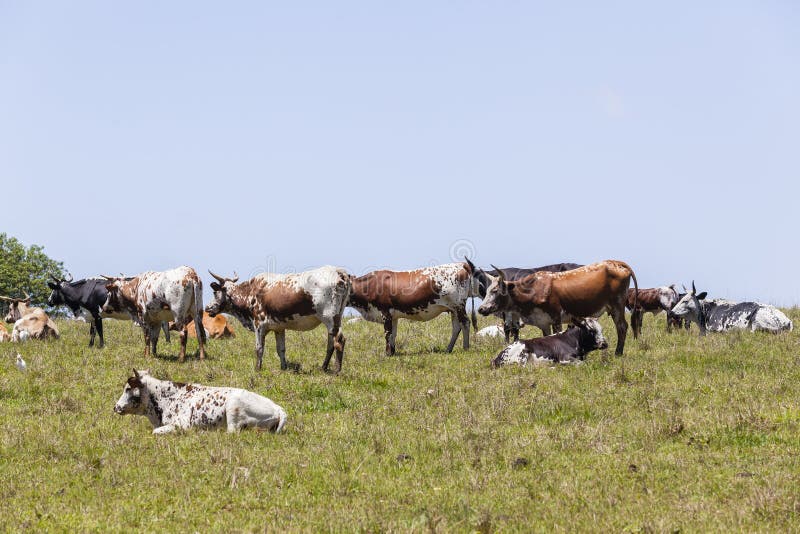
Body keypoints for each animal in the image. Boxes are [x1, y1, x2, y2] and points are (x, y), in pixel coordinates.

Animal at [114, 369, 287, 434]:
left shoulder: (182, 424)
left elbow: (156, 432)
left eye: (128, 388)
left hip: (233, 408)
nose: (116, 407)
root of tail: (278, 408)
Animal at [206, 266, 350, 372]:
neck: (250, 293)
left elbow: (259, 348)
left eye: (214, 292)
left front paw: (257, 369)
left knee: (339, 341)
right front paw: (284, 368)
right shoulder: (279, 328)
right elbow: (281, 349)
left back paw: (337, 370)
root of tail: (339, 272)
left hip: (330, 317)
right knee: (331, 344)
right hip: (335, 319)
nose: (207, 308)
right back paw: (323, 367)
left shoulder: (259, 324)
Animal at [347, 262, 480, 356]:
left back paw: (465, 348)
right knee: (456, 327)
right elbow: (393, 334)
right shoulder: (393, 317)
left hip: (458, 305)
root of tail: (461, 264)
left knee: (465, 323)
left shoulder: (385, 312)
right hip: (453, 309)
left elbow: (387, 334)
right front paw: (392, 352)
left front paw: (387, 353)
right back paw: (448, 349)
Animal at [478, 260, 638, 356]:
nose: (481, 309)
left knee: (622, 327)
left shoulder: (556, 318)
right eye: (487, 290)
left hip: (617, 306)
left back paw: (618, 353)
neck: (535, 289)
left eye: (495, 291)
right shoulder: (544, 322)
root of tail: (615, 262)